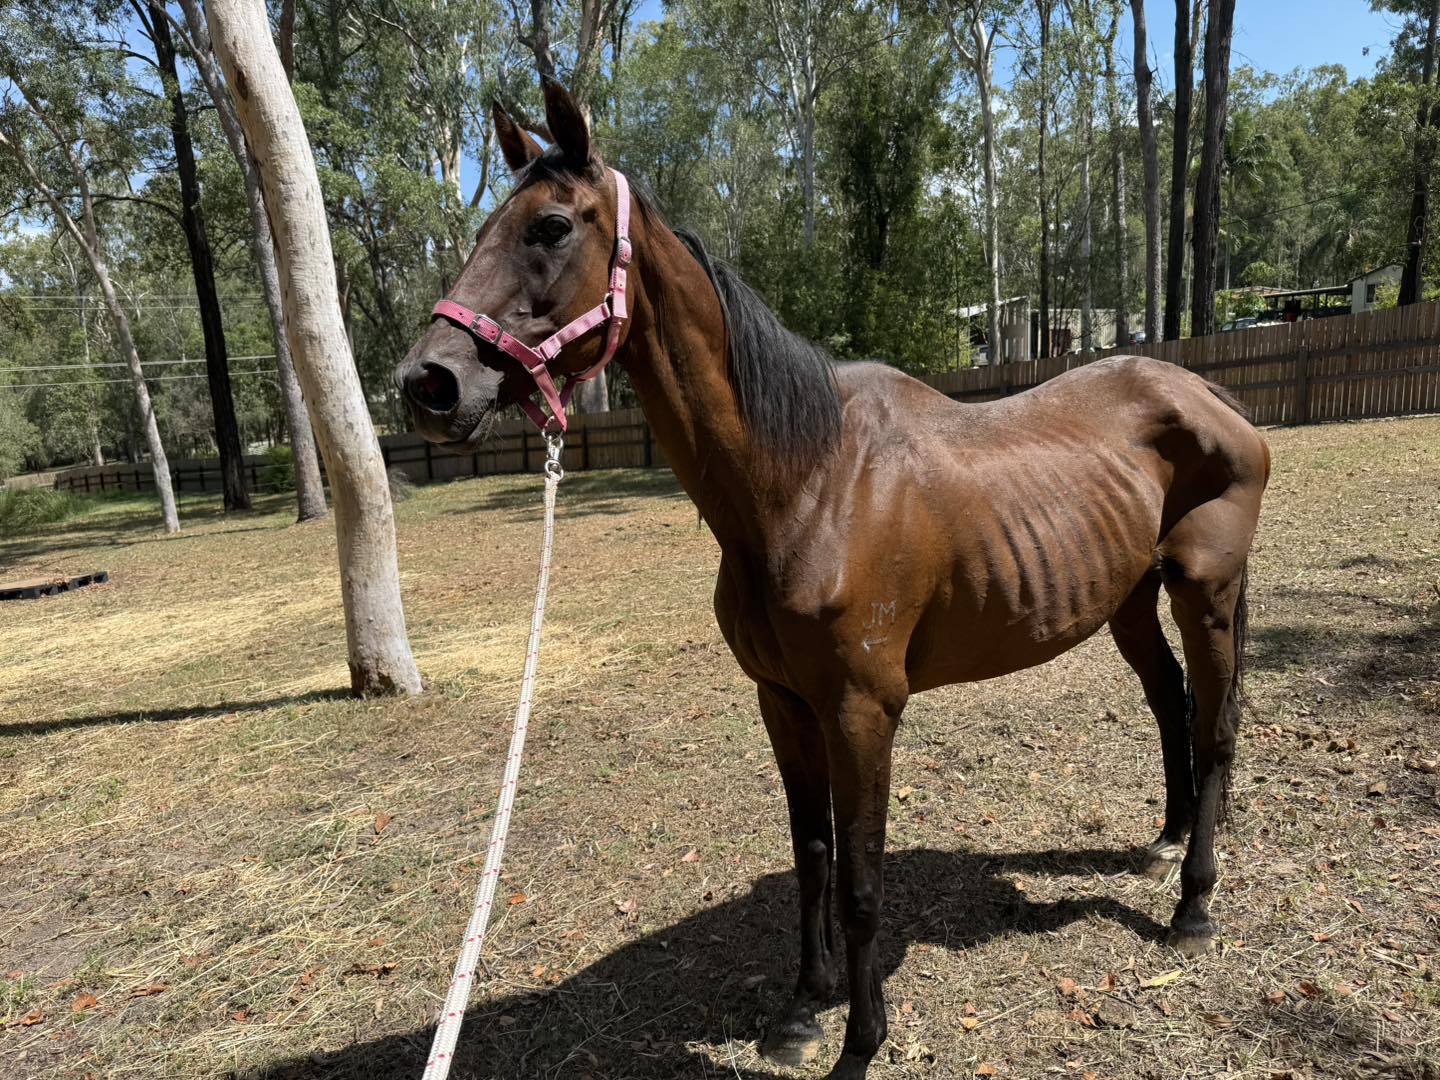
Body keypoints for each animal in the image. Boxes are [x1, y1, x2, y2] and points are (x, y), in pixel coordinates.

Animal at [396, 79, 1271, 1080]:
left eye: (547, 226)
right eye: (484, 229)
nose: (428, 382)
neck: (808, 481)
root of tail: (1214, 399)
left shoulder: (861, 710)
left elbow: (858, 880)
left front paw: (859, 1043)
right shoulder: (783, 701)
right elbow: (812, 850)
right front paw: (803, 1007)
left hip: (1206, 595)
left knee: (1217, 729)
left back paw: (1194, 906)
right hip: (1128, 602)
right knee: (1172, 704)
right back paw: (1162, 846)